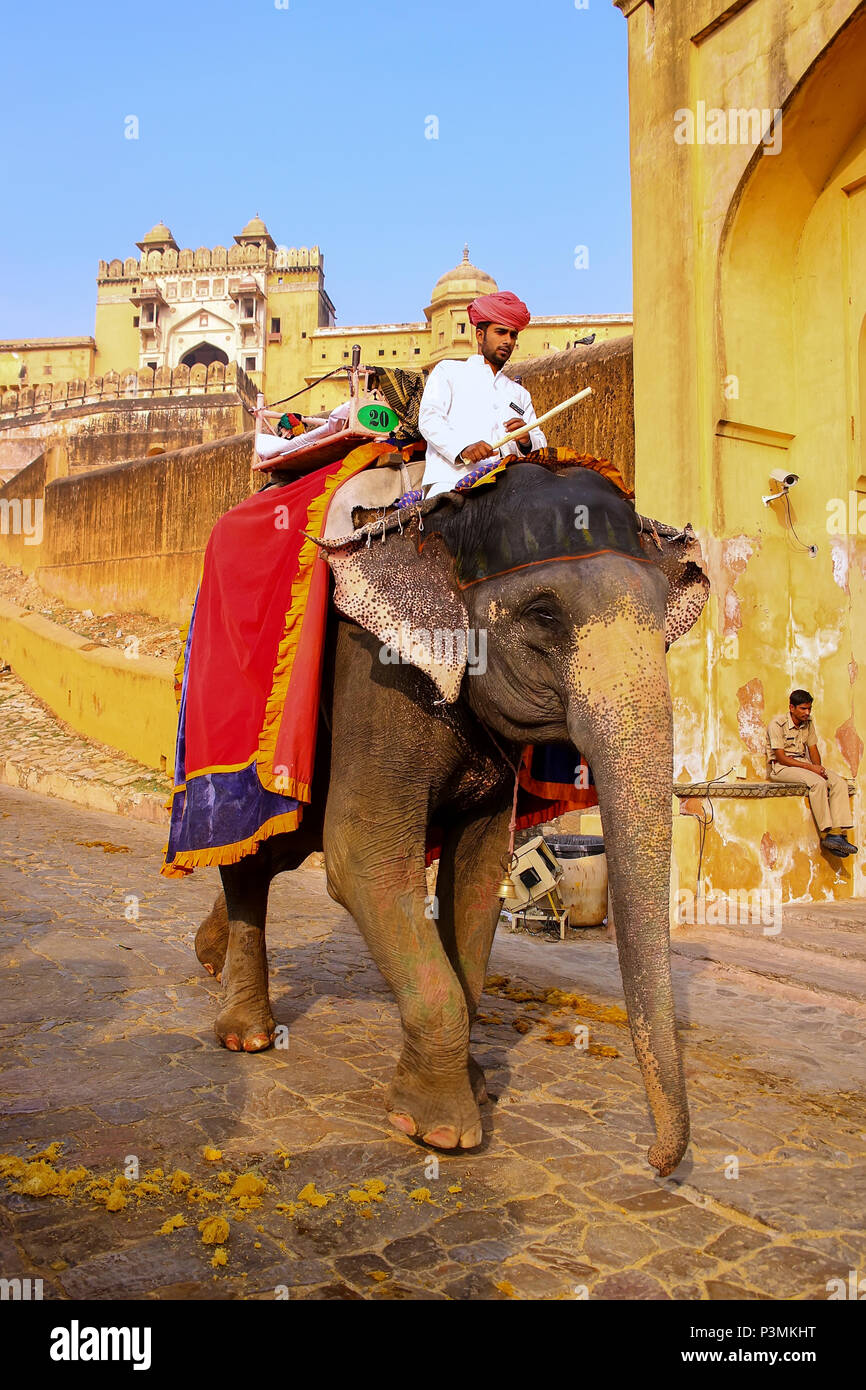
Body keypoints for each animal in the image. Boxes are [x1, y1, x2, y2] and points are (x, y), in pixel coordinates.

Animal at [193, 460, 709, 1177]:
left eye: (662, 614)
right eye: (545, 613)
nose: (655, 1162)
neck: (449, 515)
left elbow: (480, 875)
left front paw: (477, 1087)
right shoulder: (376, 671)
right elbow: (363, 858)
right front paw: (440, 1130)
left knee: (282, 848)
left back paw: (207, 955)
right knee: (254, 851)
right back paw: (246, 1036)